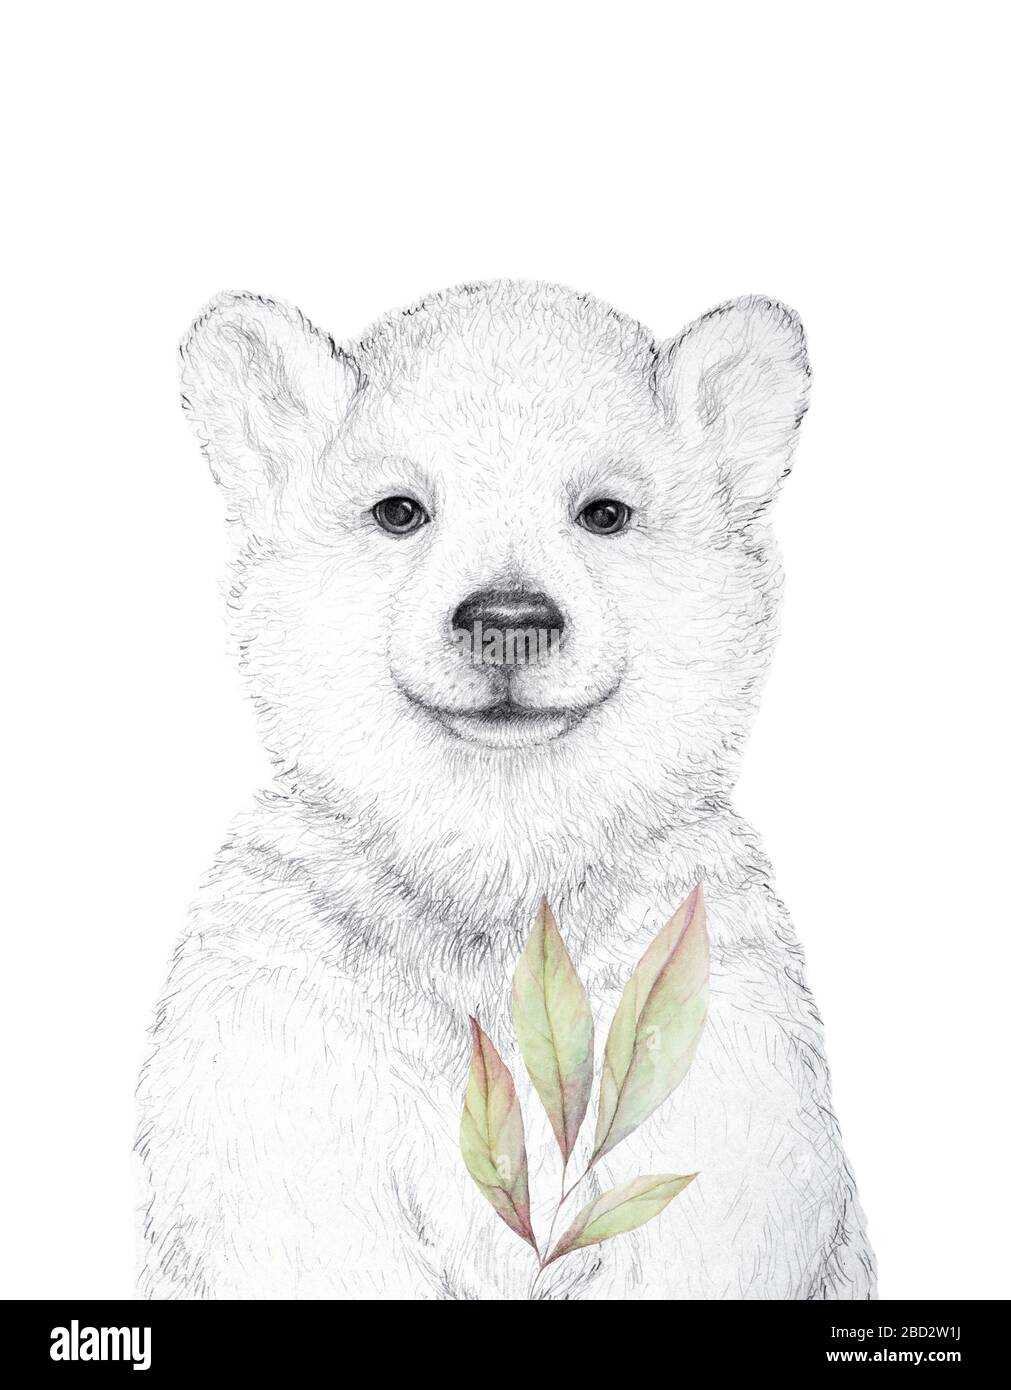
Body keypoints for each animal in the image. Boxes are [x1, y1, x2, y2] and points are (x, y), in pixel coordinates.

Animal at [136, 280, 876, 1300]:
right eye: (397, 510)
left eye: (604, 513)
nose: (507, 620)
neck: (498, 859)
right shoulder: (283, 1014)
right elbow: (309, 1226)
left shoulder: (702, 1003)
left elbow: (699, 1217)